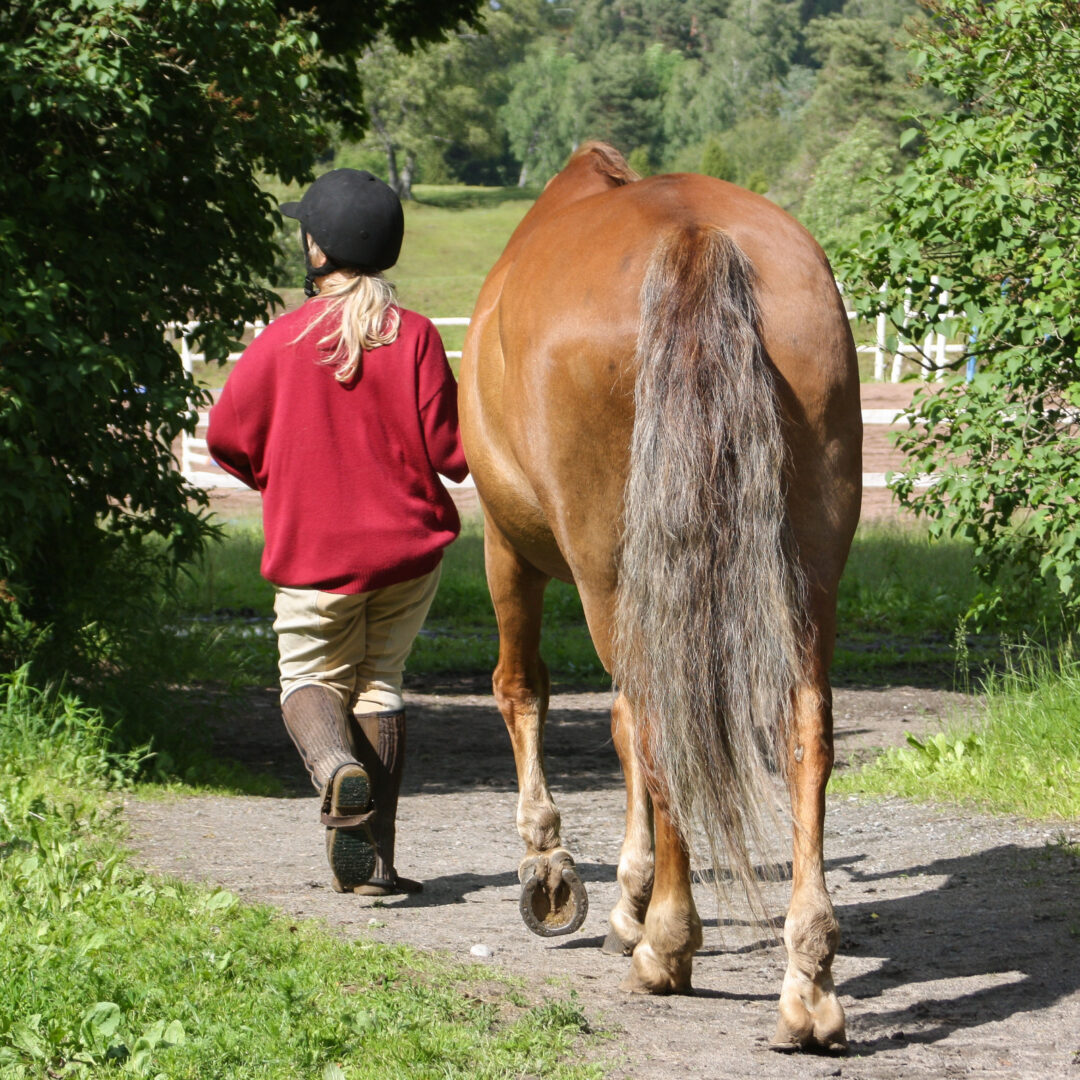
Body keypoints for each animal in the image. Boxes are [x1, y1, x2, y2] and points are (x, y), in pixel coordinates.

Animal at [457, 142, 862, 1052]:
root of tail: (693, 233)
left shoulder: (507, 546)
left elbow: (523, 690)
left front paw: (556, 870)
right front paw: (627, 895)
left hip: (609, 573)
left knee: (657, 725)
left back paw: (670, 946)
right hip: (806, 580)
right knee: (804, 734)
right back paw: (808, 981)